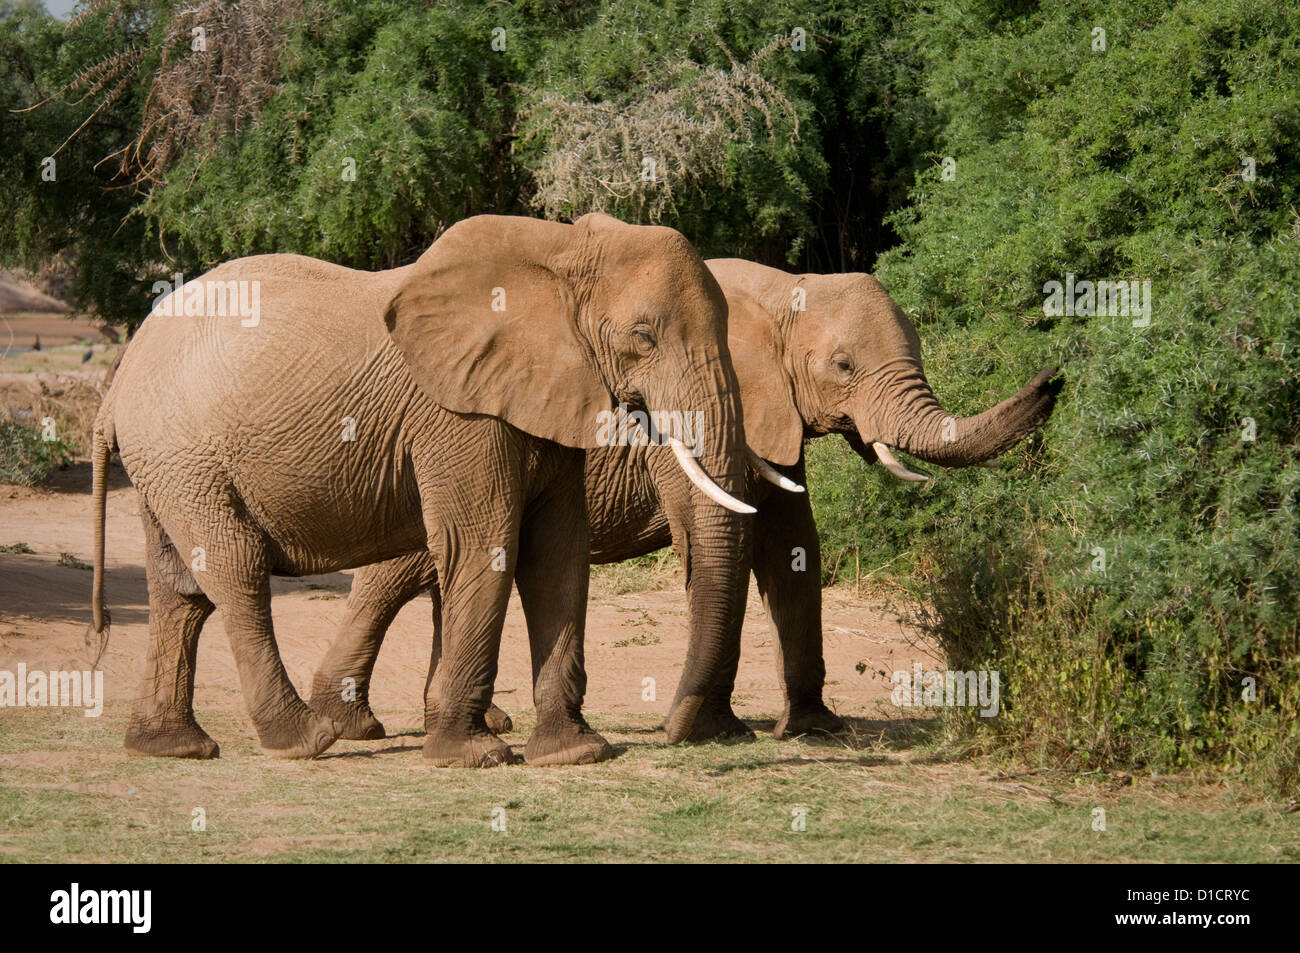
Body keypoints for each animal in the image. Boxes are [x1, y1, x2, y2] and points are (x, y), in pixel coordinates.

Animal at [89, 213, 762, 766]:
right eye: (643, 336)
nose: (677, 732)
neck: (558, 247)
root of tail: (117, 382)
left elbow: (558, 552)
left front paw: (575, 753)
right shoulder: (456, 413)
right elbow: (485, 542)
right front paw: (473, 757)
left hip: (167, 461)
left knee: (179, 589)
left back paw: (172, 747)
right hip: (184, 452)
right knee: (235, 567)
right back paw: (304, 740)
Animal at [308, 258, 1064, 743]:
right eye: (843, 366)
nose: (1054, 377)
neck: (783, 288)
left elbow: (793, 546)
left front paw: (809, 730)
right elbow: (723, 538)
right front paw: (713, 731)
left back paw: (481, 724)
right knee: (394, 576)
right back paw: (354, 727)